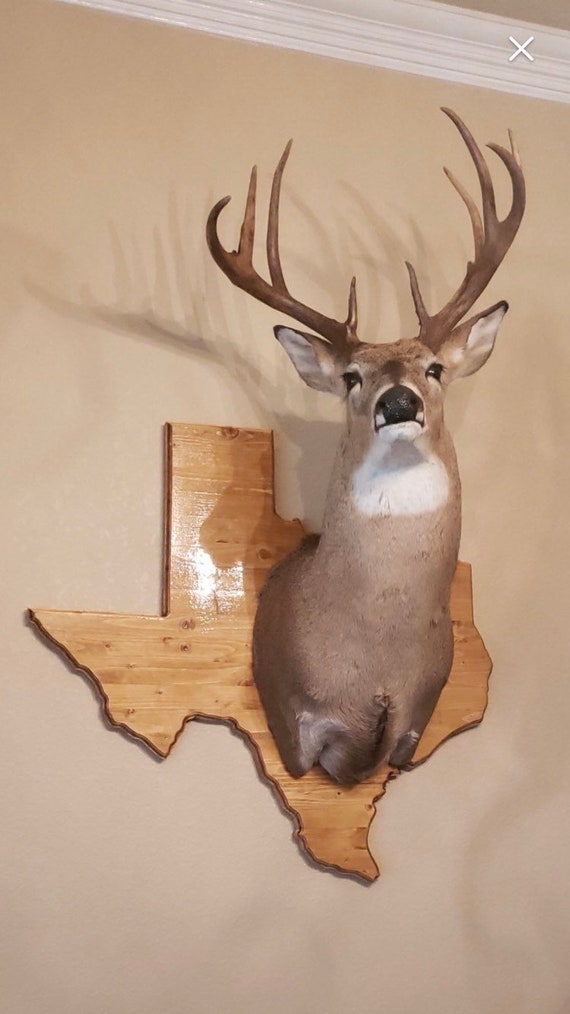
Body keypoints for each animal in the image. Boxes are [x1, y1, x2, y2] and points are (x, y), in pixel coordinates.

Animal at [206, 108, 525, 785]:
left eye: (434, 368)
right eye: (353, 376)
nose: (398, 401)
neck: (375, 659)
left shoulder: (411, 724)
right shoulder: (293, 720)